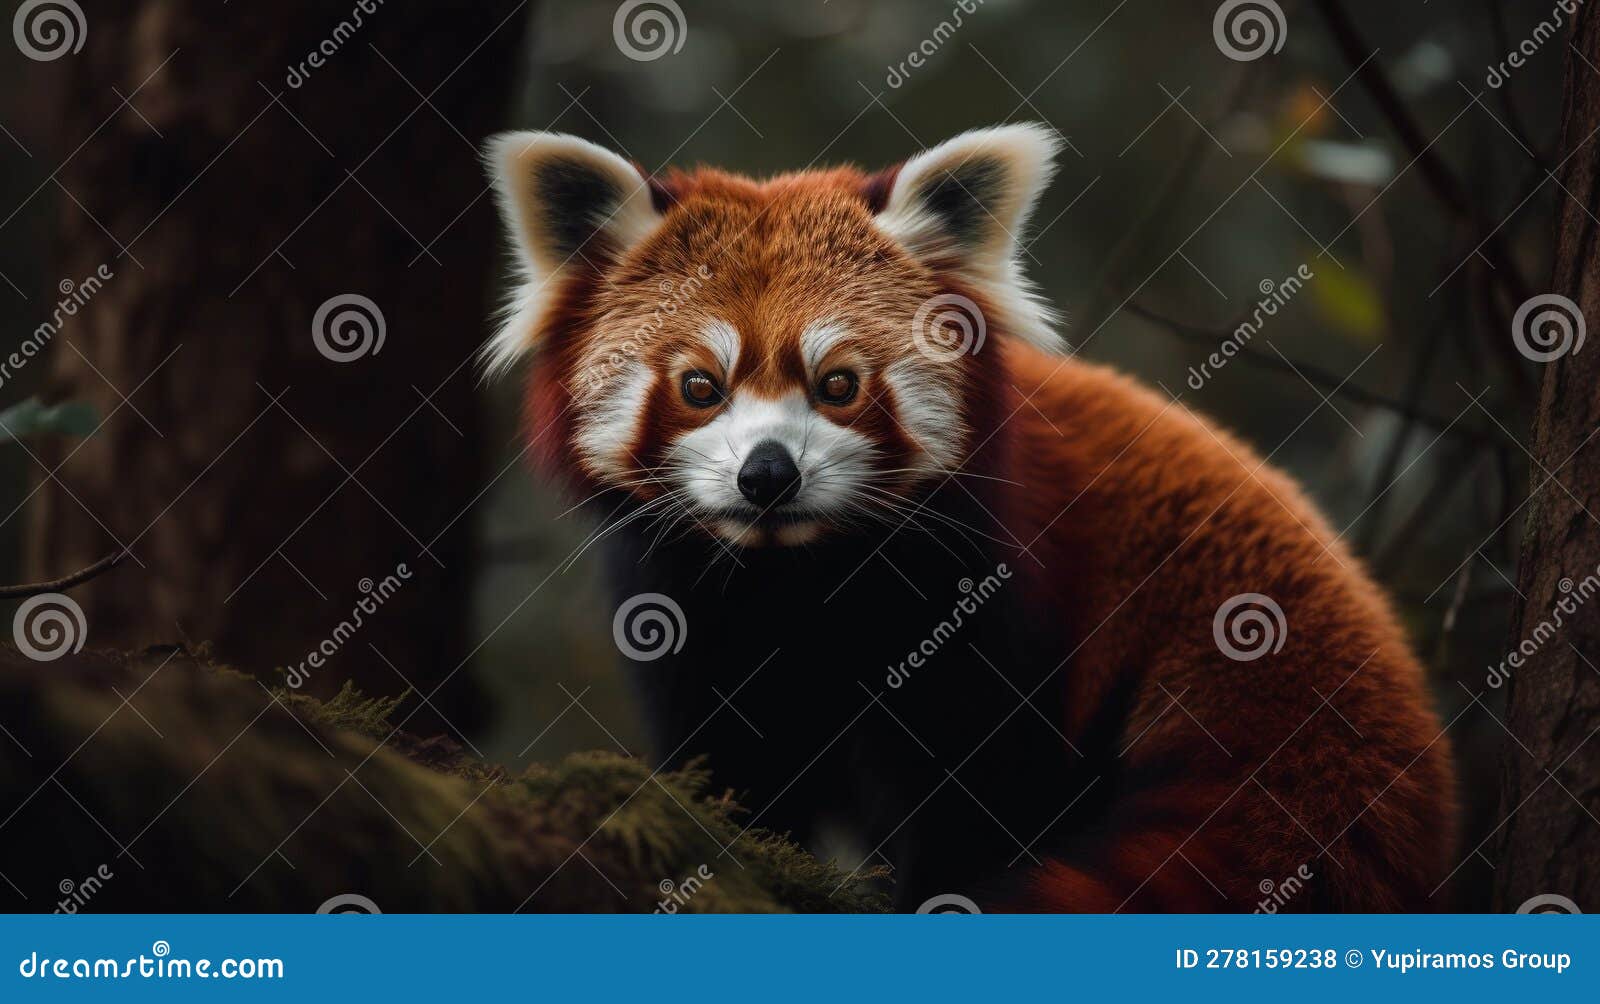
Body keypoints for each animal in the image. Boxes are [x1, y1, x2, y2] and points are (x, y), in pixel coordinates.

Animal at [482, 123, 1456, 912]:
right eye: (699, 386)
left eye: (839, 384)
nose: (767, 474)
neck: (797, 573)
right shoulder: (680, 601)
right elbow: (735, 762)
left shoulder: (984, 592)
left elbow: (972, 784)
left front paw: (936, 892)